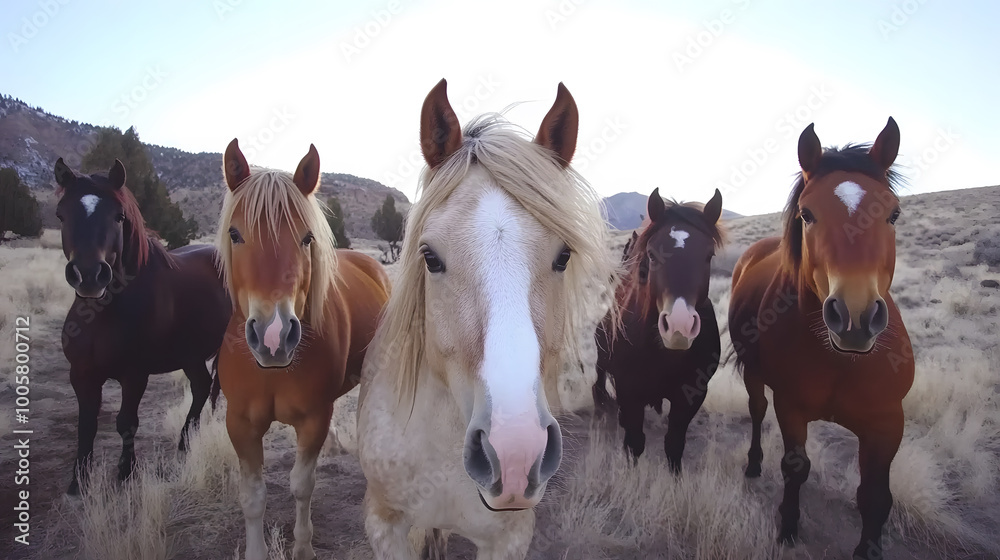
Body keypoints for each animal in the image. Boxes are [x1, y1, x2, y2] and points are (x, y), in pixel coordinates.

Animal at [53, 158, 231, 495]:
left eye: (119, 216)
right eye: (61, 214)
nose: (89, 275)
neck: (102, 316)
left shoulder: (134, 375)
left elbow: (126, 422)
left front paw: (125, 473)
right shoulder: (81, 374)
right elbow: (86, 425)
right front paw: (77, 483)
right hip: (190, 354)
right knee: (201, 386)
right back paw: (186, 441)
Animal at [216, 140, 390, 560]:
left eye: (307, 237)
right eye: (235, 234)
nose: (274, 335)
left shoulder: (313, 419)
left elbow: (301, 485)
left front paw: (304, 546)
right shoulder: (239, 424)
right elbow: (253, 497)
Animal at [593, 189, 724, 473]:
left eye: (708, 255)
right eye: (652, 255)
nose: (679, 327)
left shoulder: (692, 394)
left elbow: (674, 445)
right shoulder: (629, 389)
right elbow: (634, 443)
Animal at [728, 118, 914, 559]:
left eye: (894, 213)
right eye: (807, 214)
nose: (855, 317)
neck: (839, 359)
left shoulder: (887, 422)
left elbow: (875, 497)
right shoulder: (791, 407)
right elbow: (795, 469)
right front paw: (788, 528)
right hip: (755, 376)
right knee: (757, 410)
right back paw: (754, 464)